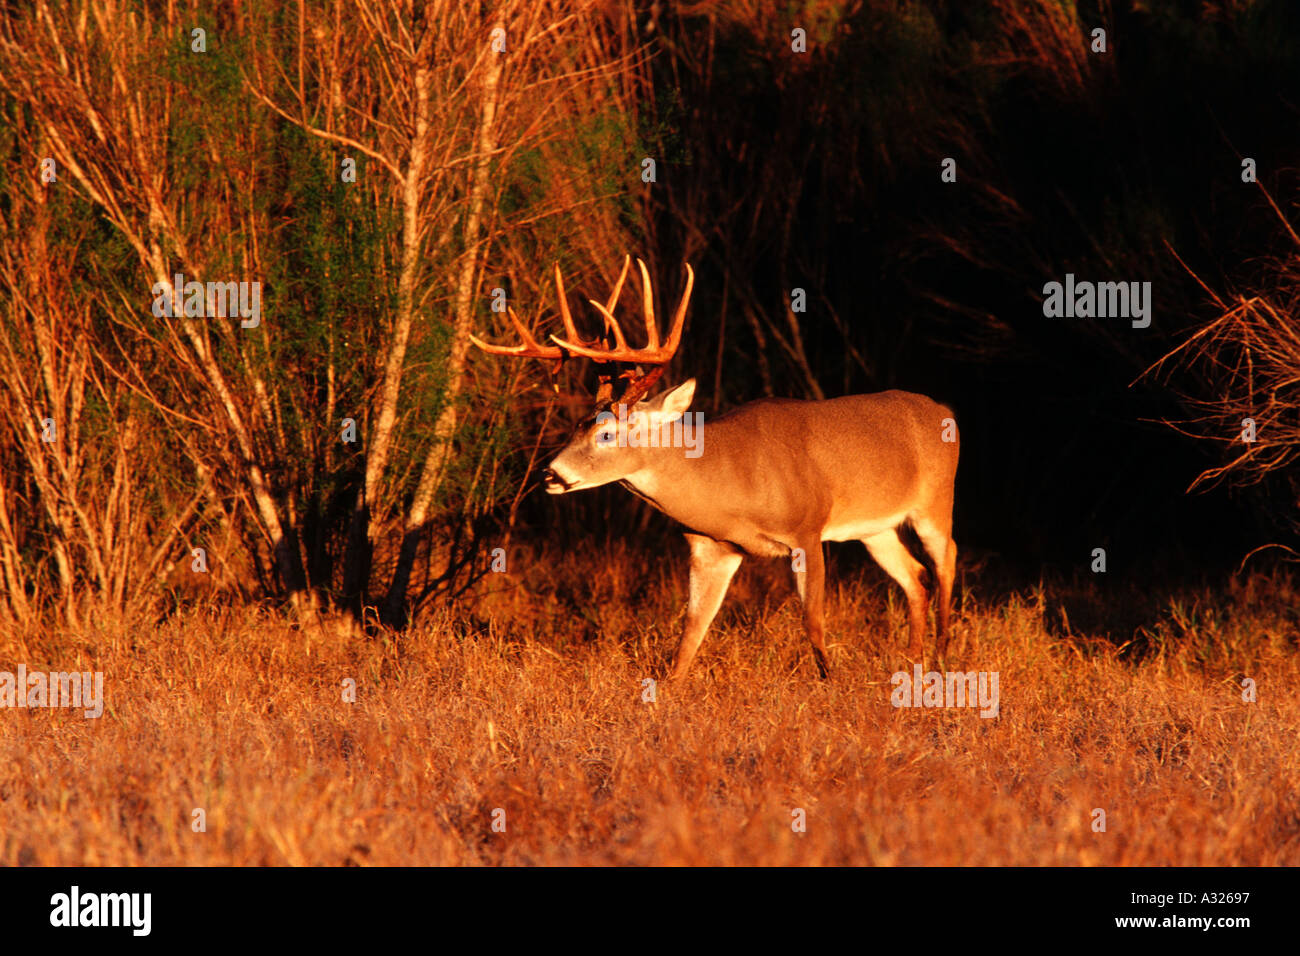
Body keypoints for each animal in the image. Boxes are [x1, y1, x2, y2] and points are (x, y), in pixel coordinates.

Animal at [469, 256, 959, 679]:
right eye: (576, 425)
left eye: (606, 434)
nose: (550, 474)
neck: (731, 482)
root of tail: (944, 410)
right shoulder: (710, 546)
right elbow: (692, 631)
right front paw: (667, 694)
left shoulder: (806, 529)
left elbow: (813, 620)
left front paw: (831, 683)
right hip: (875, 527)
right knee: (915, 577)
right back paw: (912, 663)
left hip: (935, 501)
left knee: (945, 559)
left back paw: (939, 661)